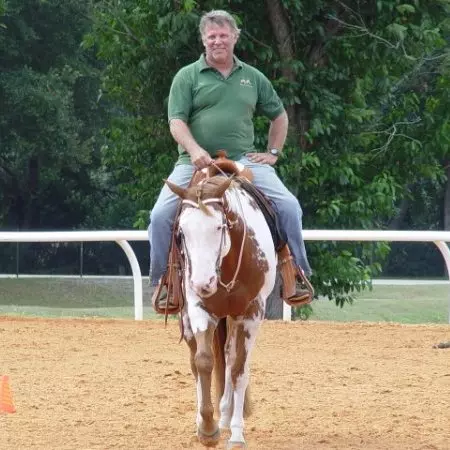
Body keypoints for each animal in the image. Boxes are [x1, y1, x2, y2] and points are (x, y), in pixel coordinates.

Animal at [165, 171, 278, 448]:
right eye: (181, 231)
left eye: (219, 227)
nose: (202, 283)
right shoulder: (199, 308)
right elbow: (204, 361)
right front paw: (207, 428)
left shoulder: (251, 313)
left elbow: (238, 368)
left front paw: (236, 434)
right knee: (197, 361)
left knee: (230, 357)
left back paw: (227, 415)